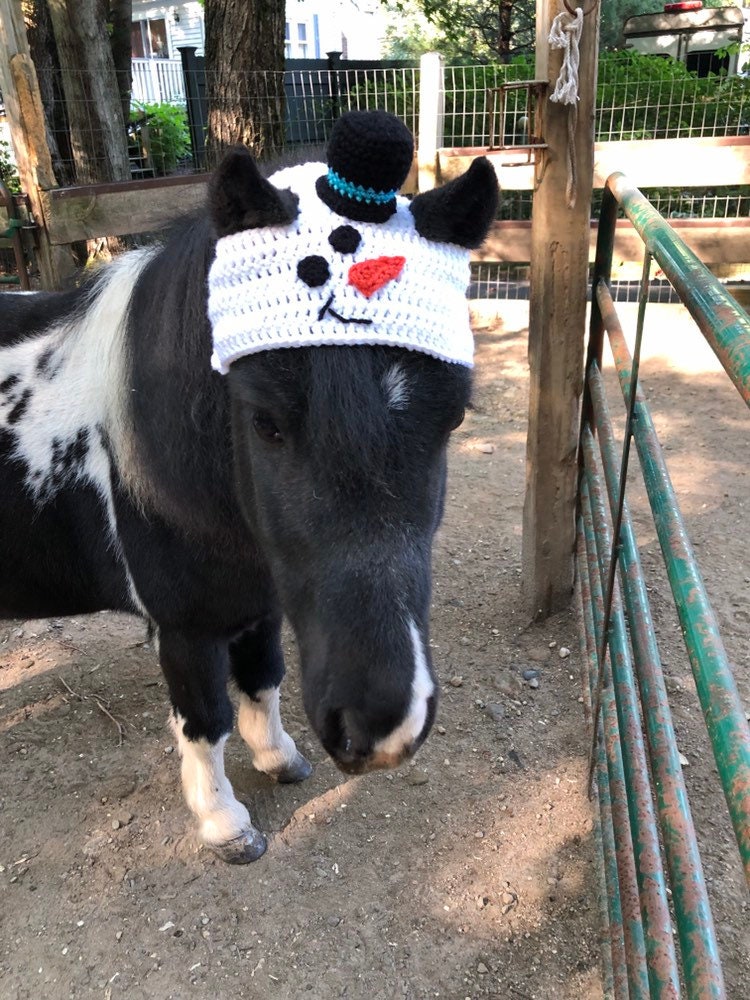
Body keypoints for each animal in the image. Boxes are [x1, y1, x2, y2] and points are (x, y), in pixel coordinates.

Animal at [0, 110, 498, 863]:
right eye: (263, 420)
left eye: (454, 417)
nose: (381, 726)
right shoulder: (183, 626)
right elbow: (205, 719)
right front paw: (223, 822)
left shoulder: (259, 602)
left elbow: (263, 680)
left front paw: (278, 758)